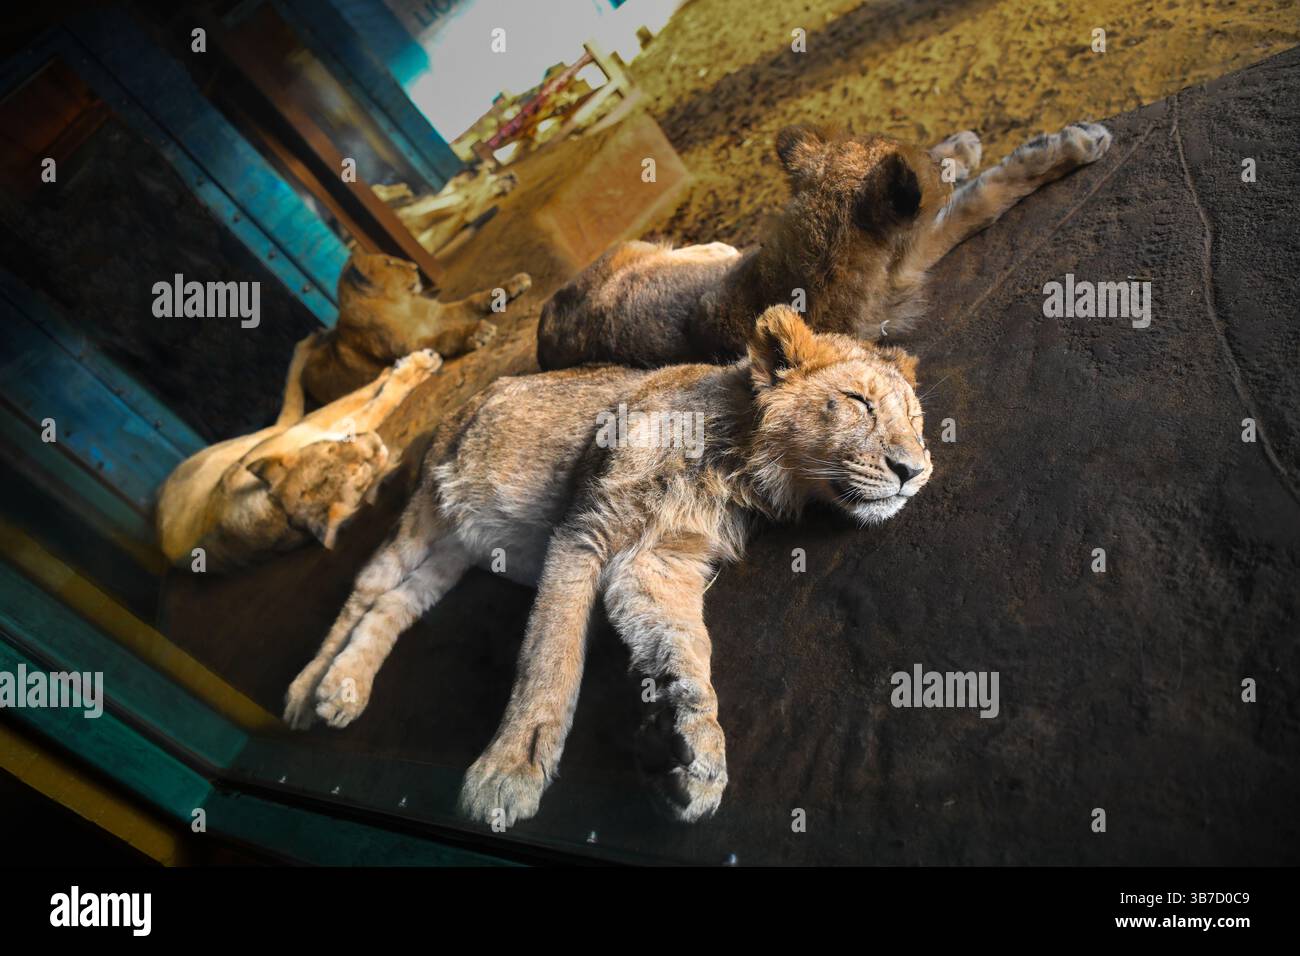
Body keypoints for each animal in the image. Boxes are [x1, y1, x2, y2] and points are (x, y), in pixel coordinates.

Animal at [156, 338, 441, 571]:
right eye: (361, 471)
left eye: (334, 448)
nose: (374, 443)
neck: (278, 512)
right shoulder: (321, 426)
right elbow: (378, 404)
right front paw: (420, 365)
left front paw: (404, 365)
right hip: (276, 432)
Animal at [282, 305, 931, 825]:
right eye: (858, 402)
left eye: (917, 422)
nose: (915, 470)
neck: (733, 471)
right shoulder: (582, 532)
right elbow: (550, 660)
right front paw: (508, 771)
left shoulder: (658, 563)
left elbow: (688, 646)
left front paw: (694, 749)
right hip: (425, 510)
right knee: (367, 588)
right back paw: (308, 688)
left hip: (457, 551)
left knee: (394, 602)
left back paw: (345, 686)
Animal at [301, 251, 531, 405]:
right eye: (389, 263)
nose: (414, 266)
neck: (402, 303)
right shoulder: (410, 347)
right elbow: (446, 336)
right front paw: (476, 332)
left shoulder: (438, 314)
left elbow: (472, 300)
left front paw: (513, 284)